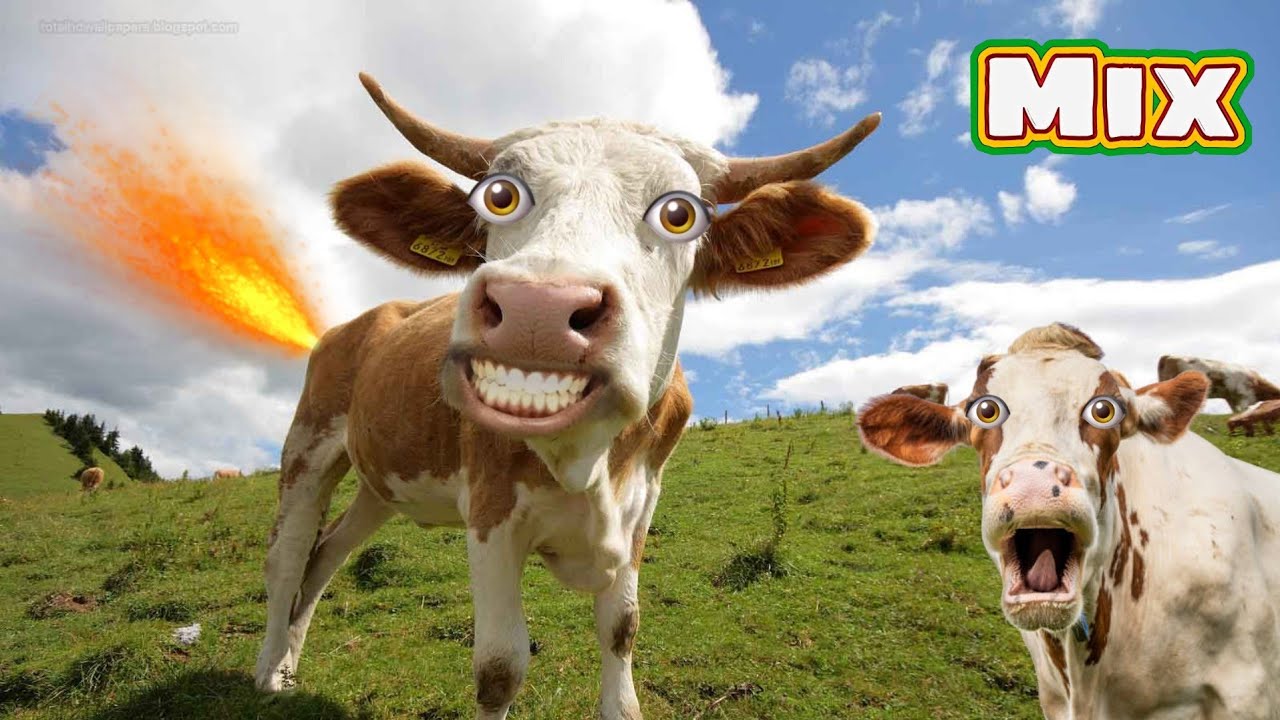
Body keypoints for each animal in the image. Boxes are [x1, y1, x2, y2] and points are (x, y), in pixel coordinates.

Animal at [255, 72, 880, 719]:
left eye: (679, 214)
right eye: (500, 198)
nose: (539, 310)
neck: (587, 460)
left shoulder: (641, 508)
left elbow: (622, 627)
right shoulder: (491, 513)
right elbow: (499, 667)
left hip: (381, 482)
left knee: (326, 554)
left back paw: (290, 667)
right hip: (307, 445)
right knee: (287, 555)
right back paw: (268, 673)